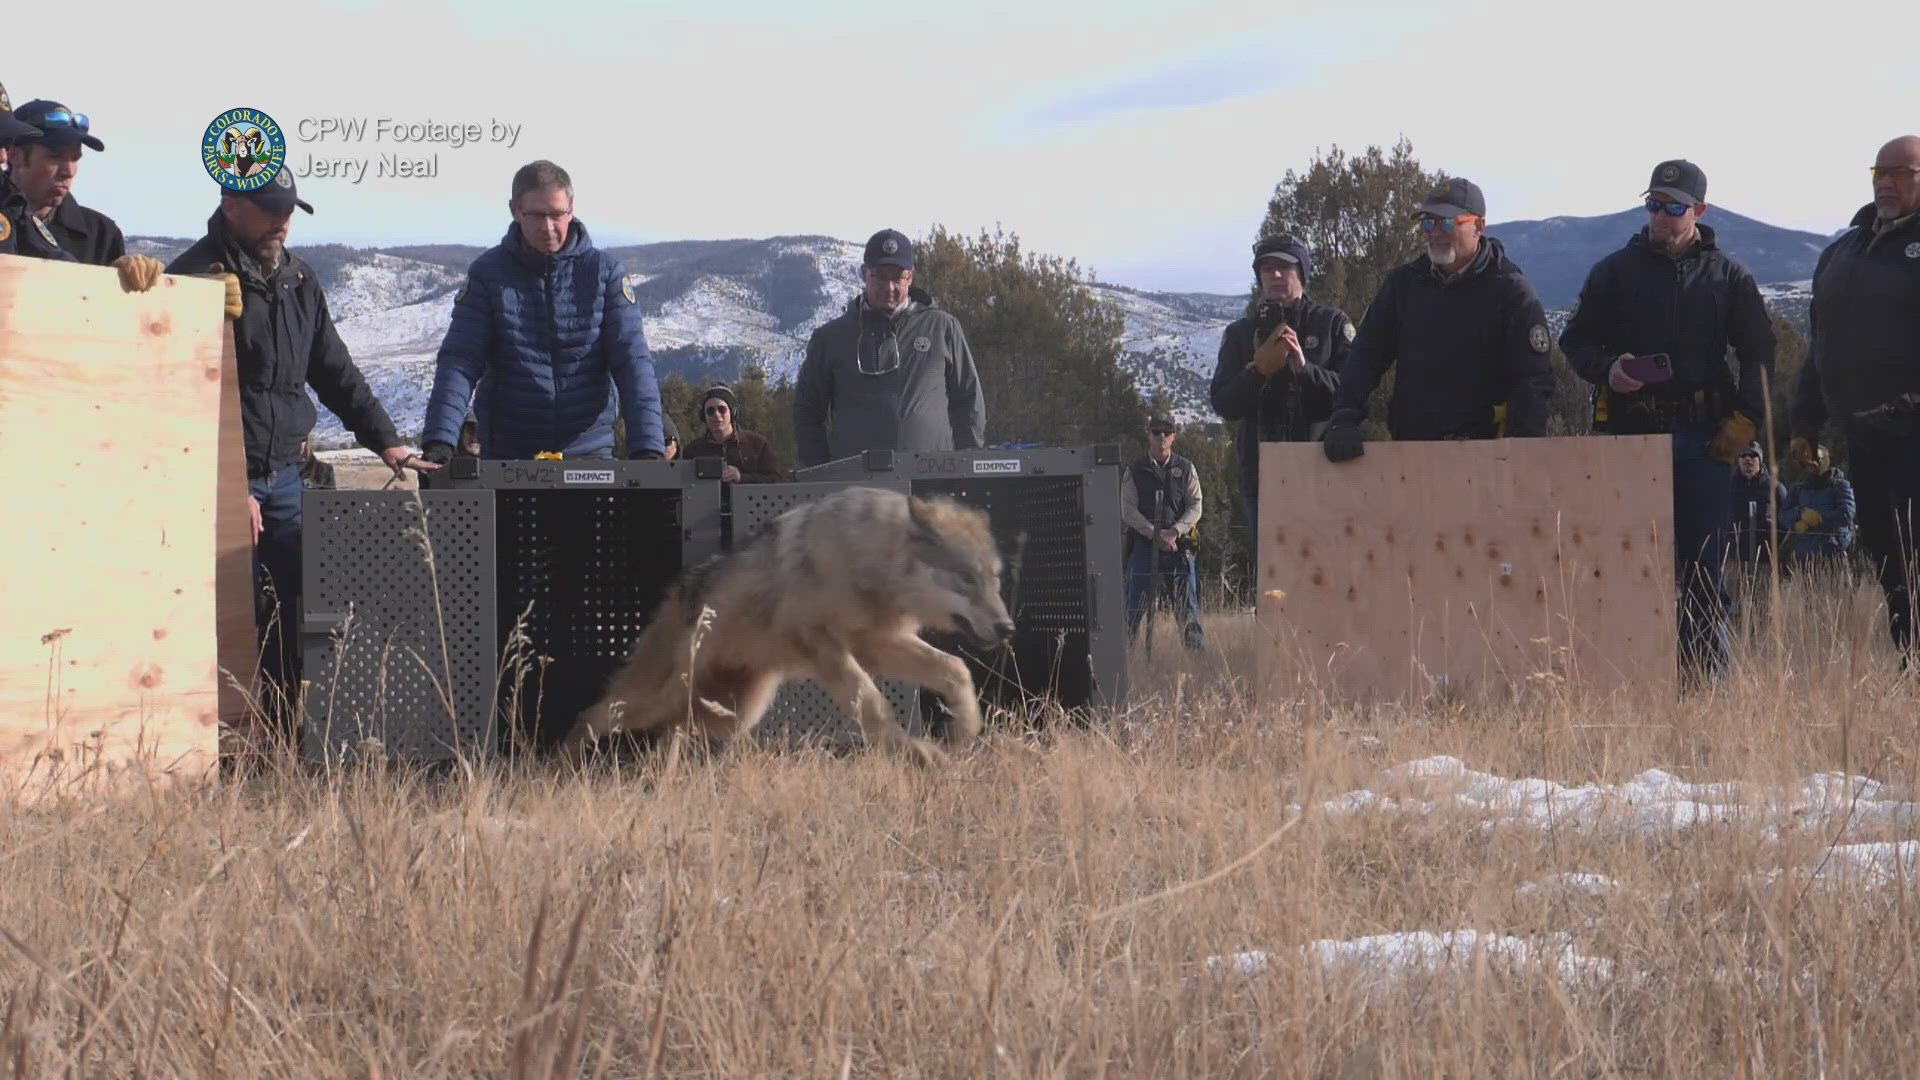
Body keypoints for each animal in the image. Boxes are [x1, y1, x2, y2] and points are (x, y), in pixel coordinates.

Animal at [557, 486, 1015, 768]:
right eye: (966, 579)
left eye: (995, 579)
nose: (1007, 627)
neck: (866, 558)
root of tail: (679, 591)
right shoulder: (823, 642)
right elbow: (870, 701)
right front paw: (917, 752)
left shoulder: (877, 644)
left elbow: (956, 670)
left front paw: (964, 729)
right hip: (670, 698)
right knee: (595, 713)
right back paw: (563, 766)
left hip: (732, 714)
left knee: (672, 730)